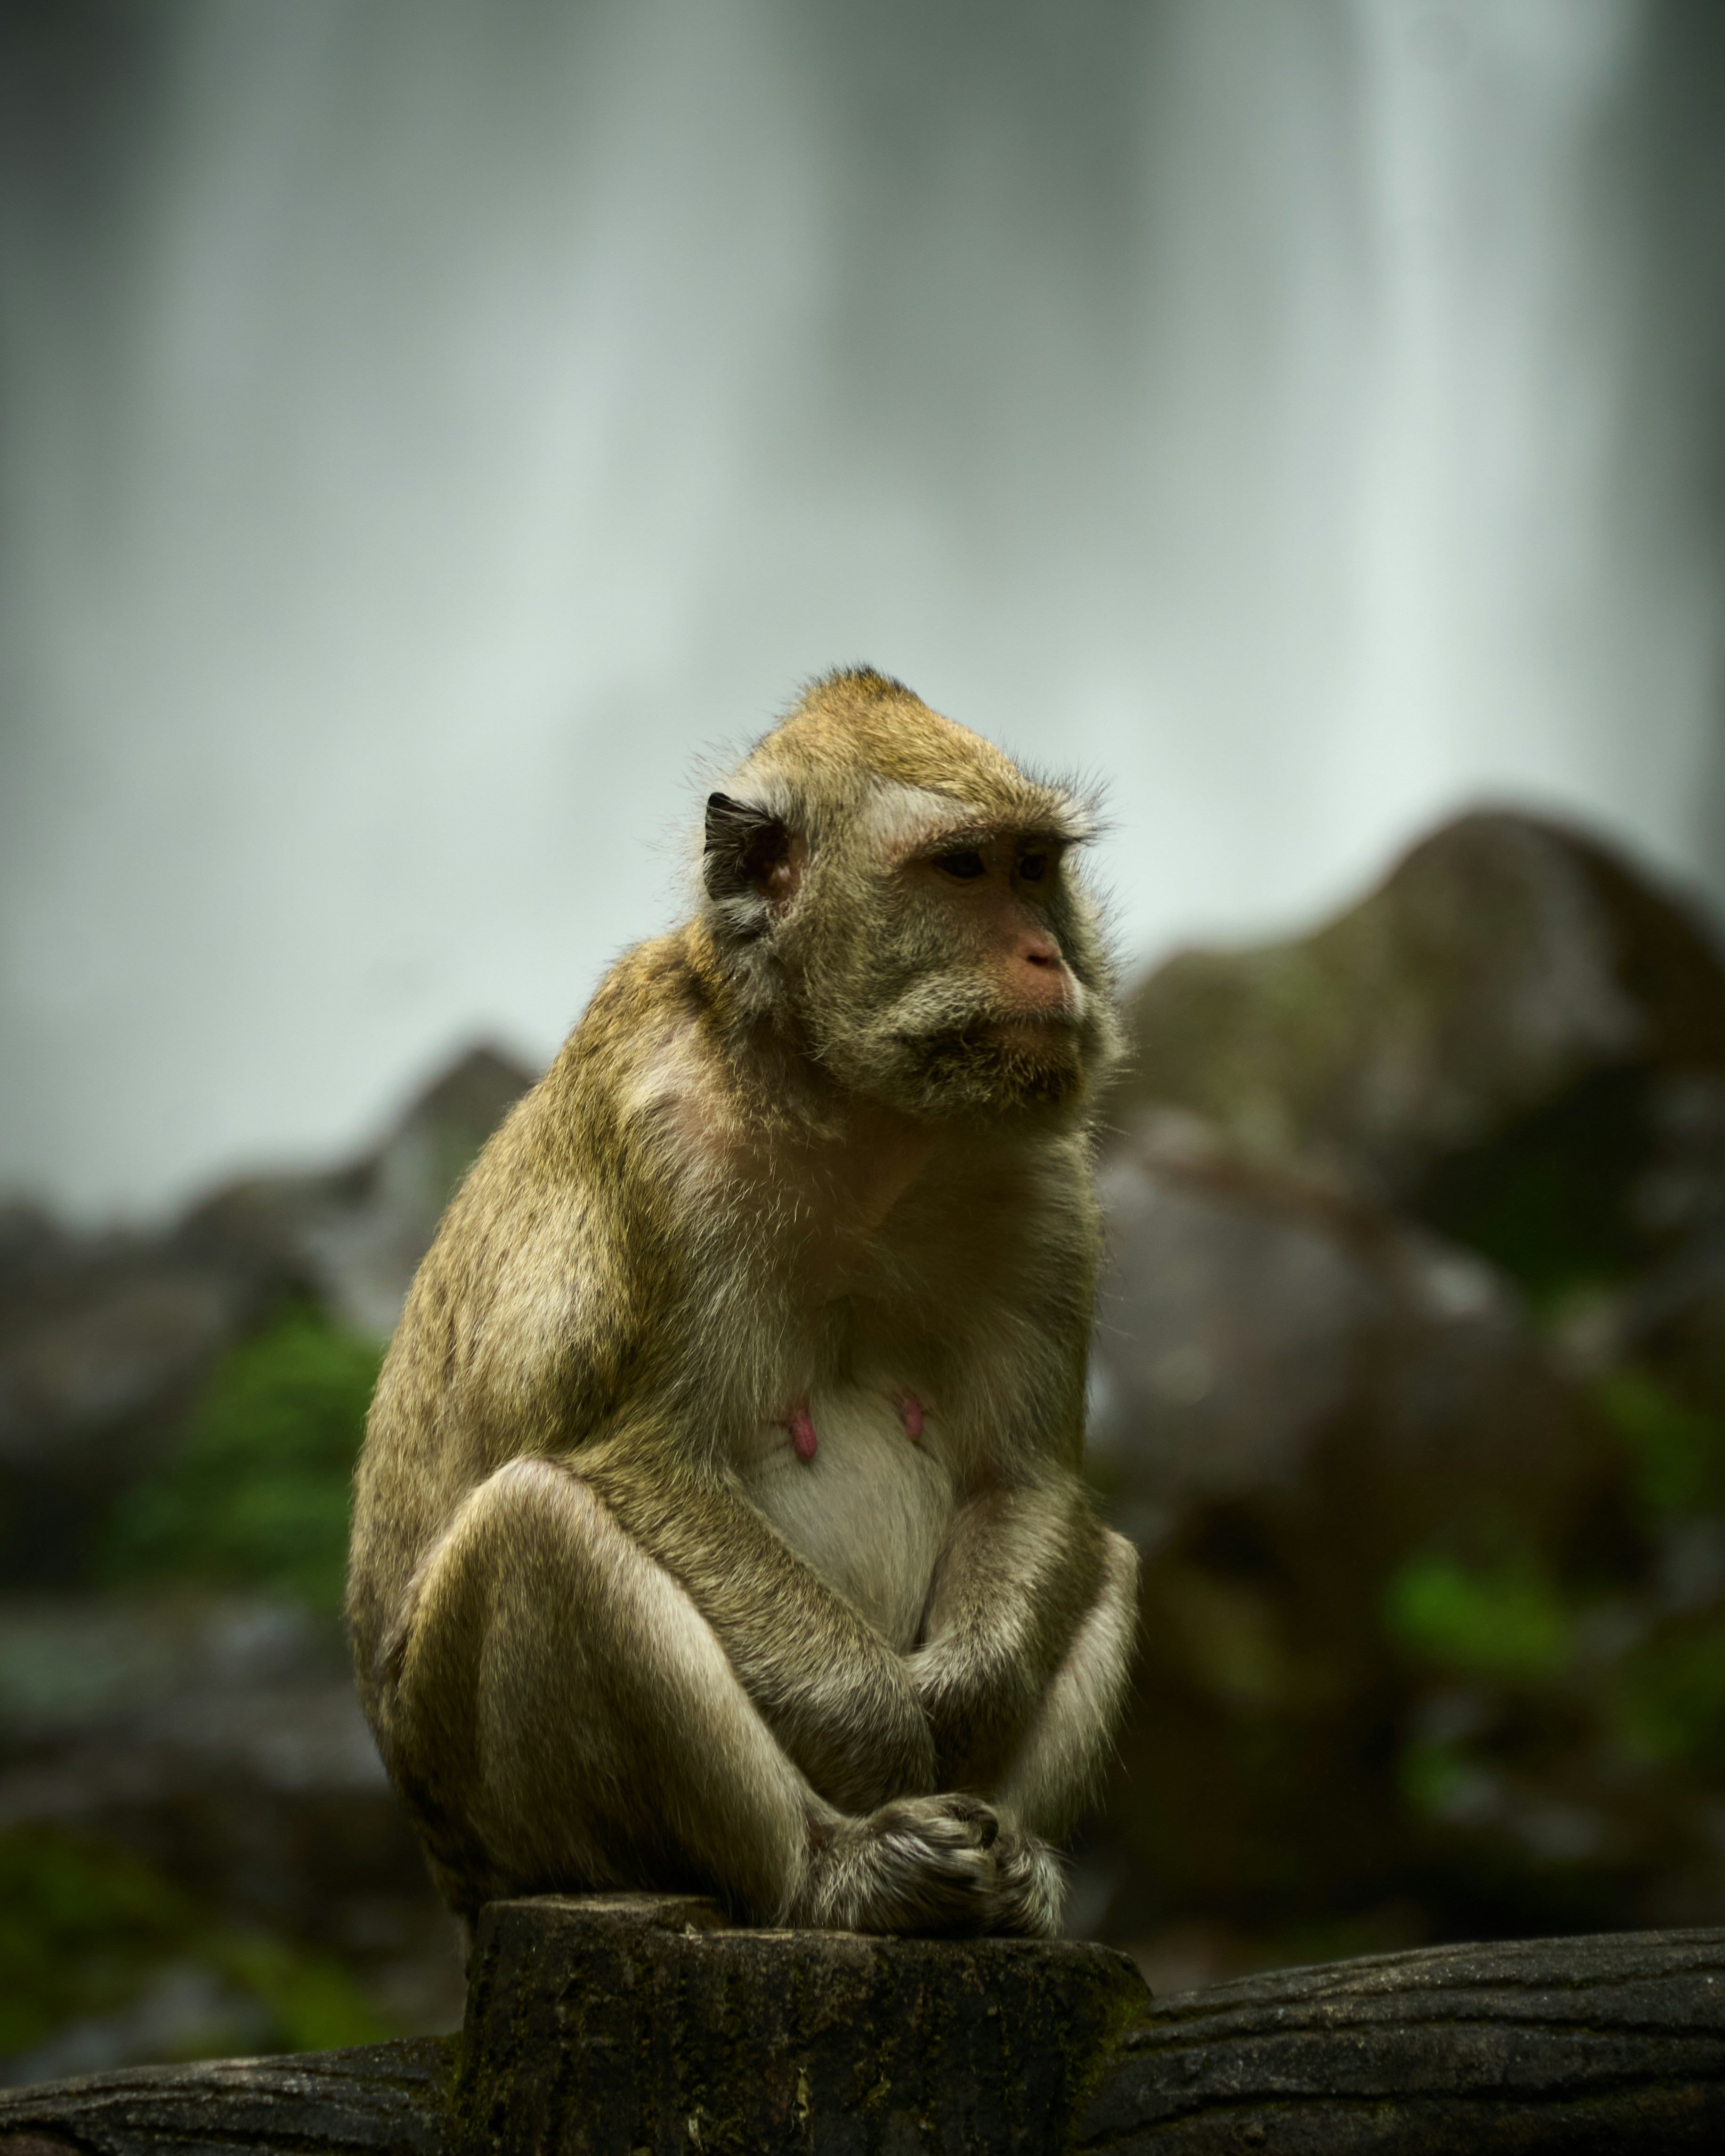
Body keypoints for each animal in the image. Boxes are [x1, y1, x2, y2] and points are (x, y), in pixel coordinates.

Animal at [346, 667, 1139, 1942]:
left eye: (1034, 868)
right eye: (962, 868)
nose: (1042, 957)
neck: (849, 1112)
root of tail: (455, 1885)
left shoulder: (1045, 1187)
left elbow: (1018, 1476)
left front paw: (960, 1707)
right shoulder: (660, 1143)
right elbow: (646, 1456)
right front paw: (885, 1731)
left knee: (1105, 1554)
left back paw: (1013, 1869)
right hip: (499, 1814)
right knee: (540, 1528)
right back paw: (837, 1868)